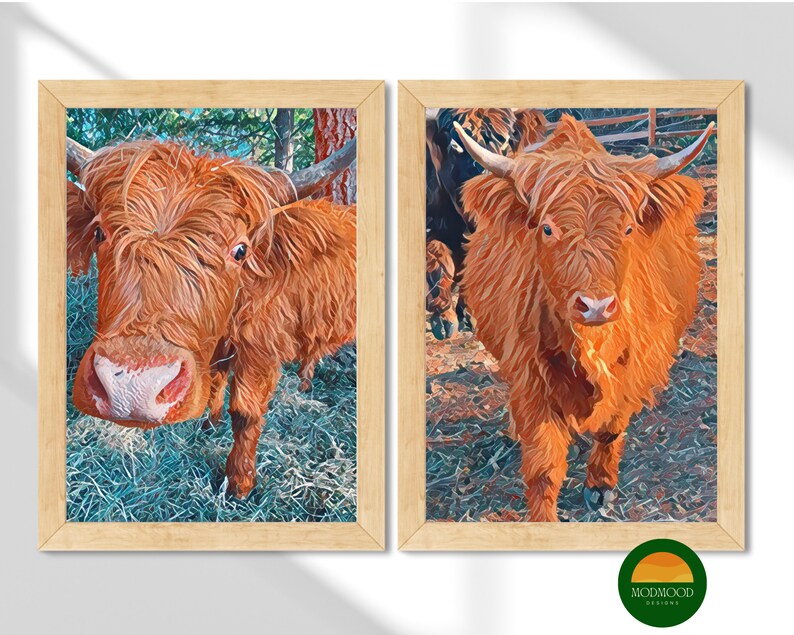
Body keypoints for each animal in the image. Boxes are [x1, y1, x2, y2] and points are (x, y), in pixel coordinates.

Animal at [66, 137, 357, 499]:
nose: (132, 389)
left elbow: (245, 412)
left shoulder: (260, 350)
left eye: (240, 250)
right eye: (99, 233)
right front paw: (209, 424)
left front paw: (240, 483)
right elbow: (216, 380)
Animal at [454, 115, 713, 521]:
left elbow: (610, 428)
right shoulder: (531, 377)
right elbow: (544, 466)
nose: (595, 305)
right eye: (547, 228)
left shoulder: (632, 369)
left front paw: (600, 487)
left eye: (627, 228)